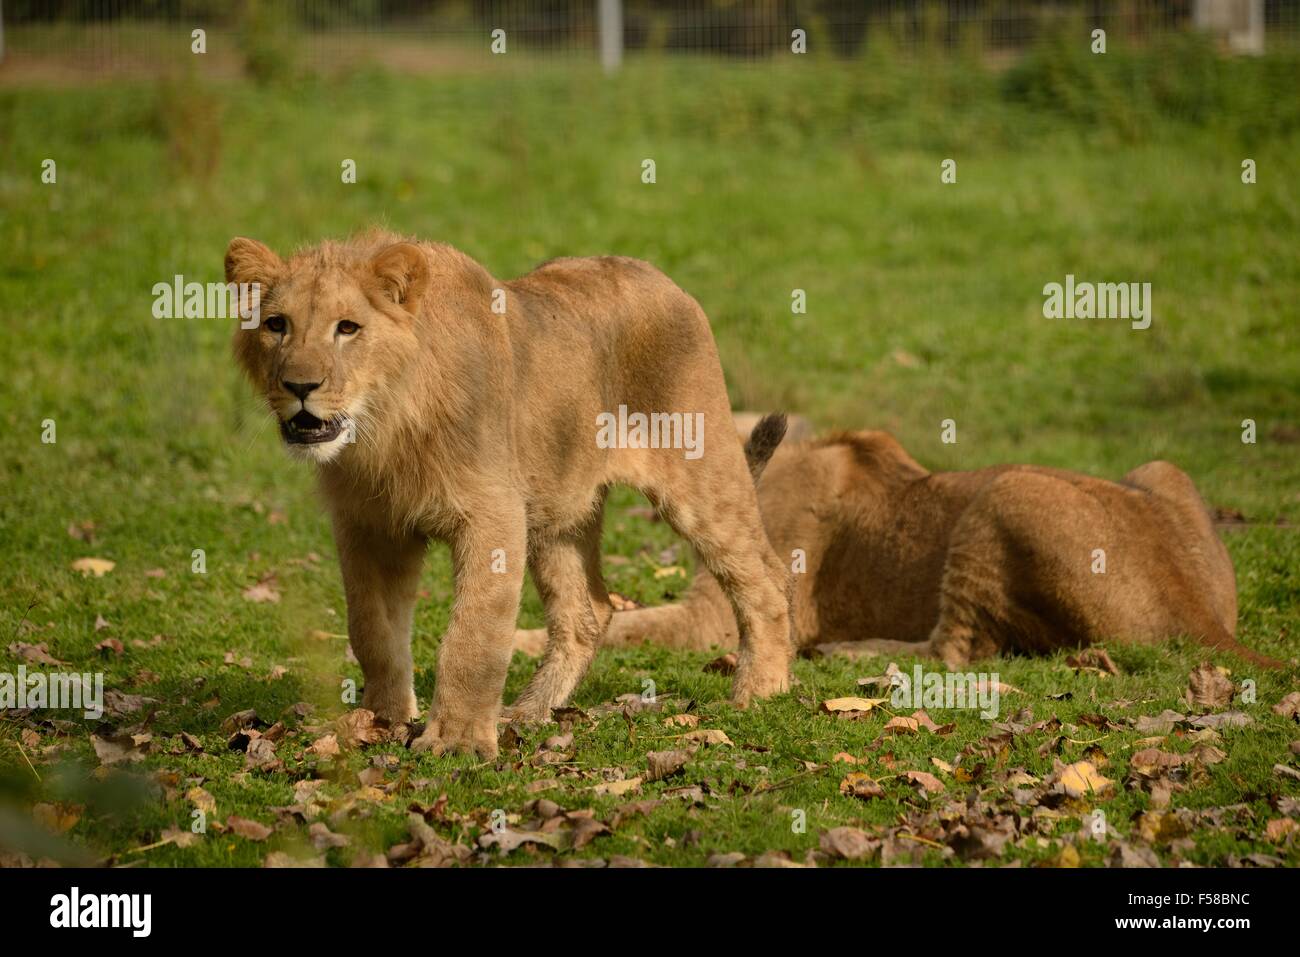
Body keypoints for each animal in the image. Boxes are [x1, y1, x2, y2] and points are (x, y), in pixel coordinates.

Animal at [227, 232, 792, 758]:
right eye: (277, 325)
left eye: (347, 327)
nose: (300, 386)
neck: (383, 428)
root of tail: (660, 277)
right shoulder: (368, 527)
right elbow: (371, 631)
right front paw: (382, 721)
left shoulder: (493, 515)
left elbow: (473, 637)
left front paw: (456, 741)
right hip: (559, 508)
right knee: (589, 612)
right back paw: (528, 712)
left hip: (697, 470)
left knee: (766, 575)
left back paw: (761, 692)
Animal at [515, 415, 1280, 669]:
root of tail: (1201, 617)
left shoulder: (721, 618)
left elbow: (630, 626)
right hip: (1161, 469)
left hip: (1006, 494)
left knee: (954, 653)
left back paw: (849, 653)